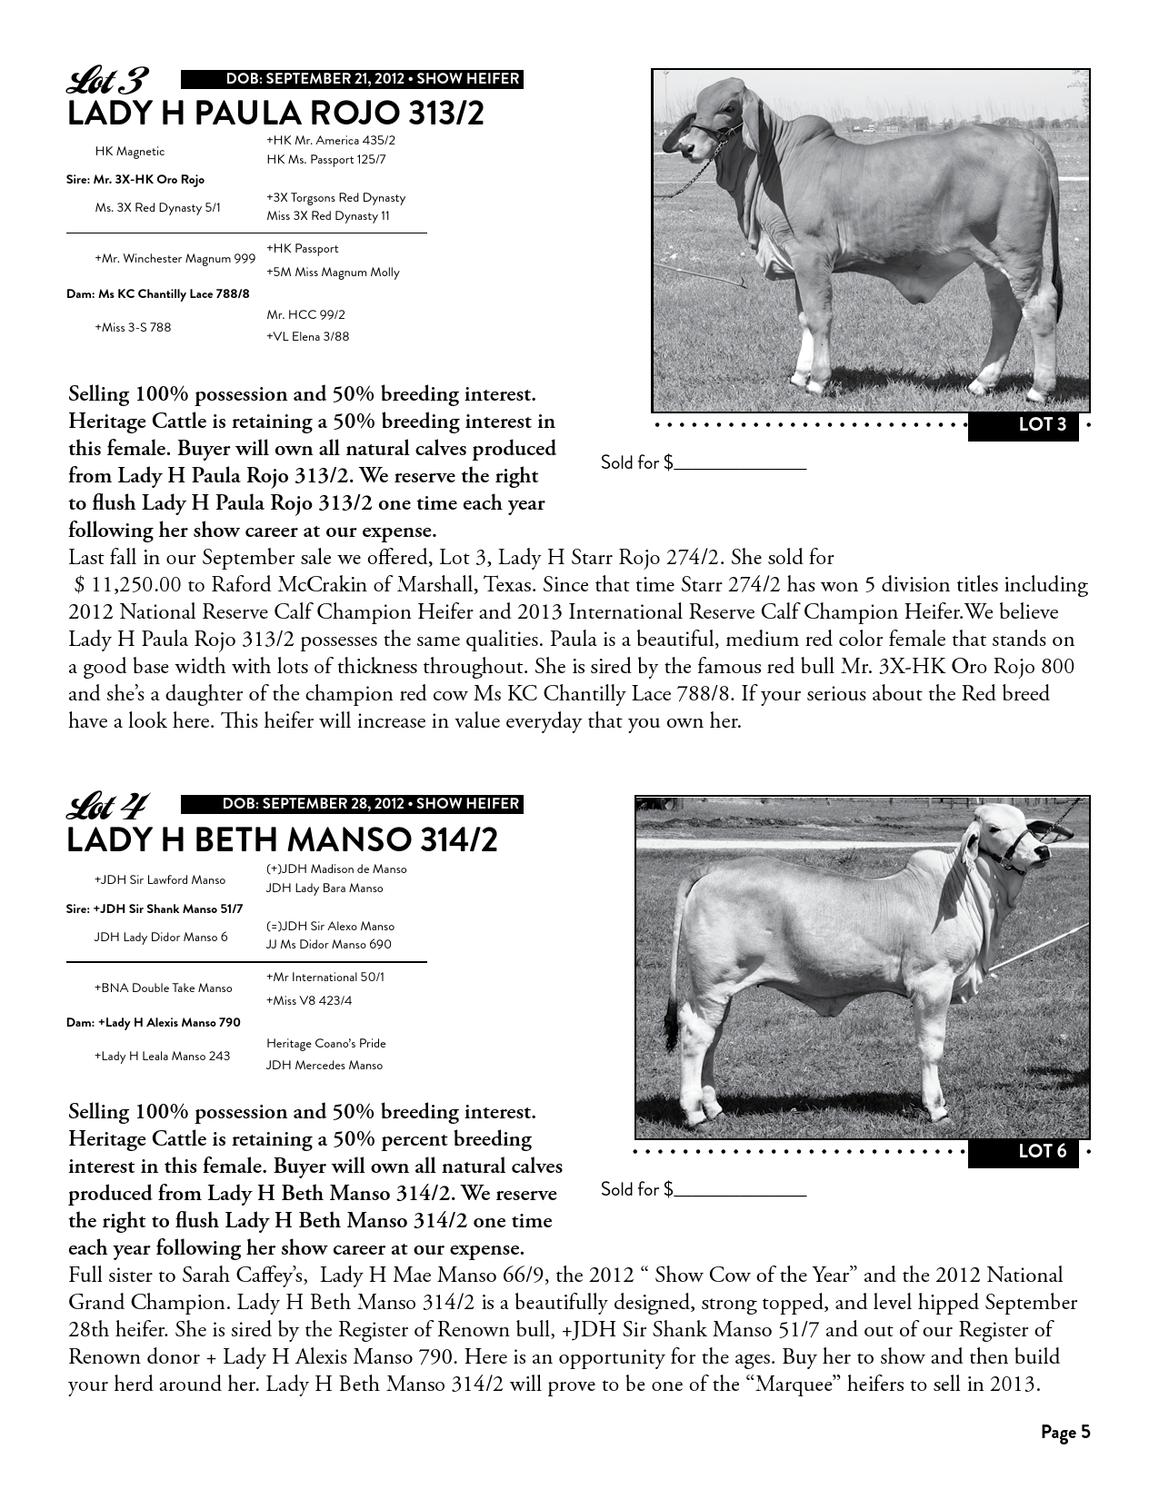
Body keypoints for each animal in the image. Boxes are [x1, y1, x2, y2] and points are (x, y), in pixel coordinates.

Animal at [660, 79, 1063, 402]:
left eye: (728, 107)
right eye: (698, 106)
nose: (688, 146)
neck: (776, 163)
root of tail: (1024, 136)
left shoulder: (811, 255)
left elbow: (819, 316)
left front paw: (819, 380)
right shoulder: (796, 261)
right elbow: (804, 317)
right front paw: (800, 374)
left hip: (1019, 255)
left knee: (1040, 307)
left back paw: (1039, 389)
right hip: (992, 261)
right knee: (1005, 312)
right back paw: (982, 381)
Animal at [664, 805, 1068, 1127]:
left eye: (1028, 826)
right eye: (994, 828)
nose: (1041, 850)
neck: (964, 893)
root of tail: (714, 867)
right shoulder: (933, 983)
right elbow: (931, 1046)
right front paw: (936, 1107)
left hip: (722, 990)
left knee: (713, 1036)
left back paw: (713, 1105)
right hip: (713, 983)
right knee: (696, 1034)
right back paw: (694, 1112)